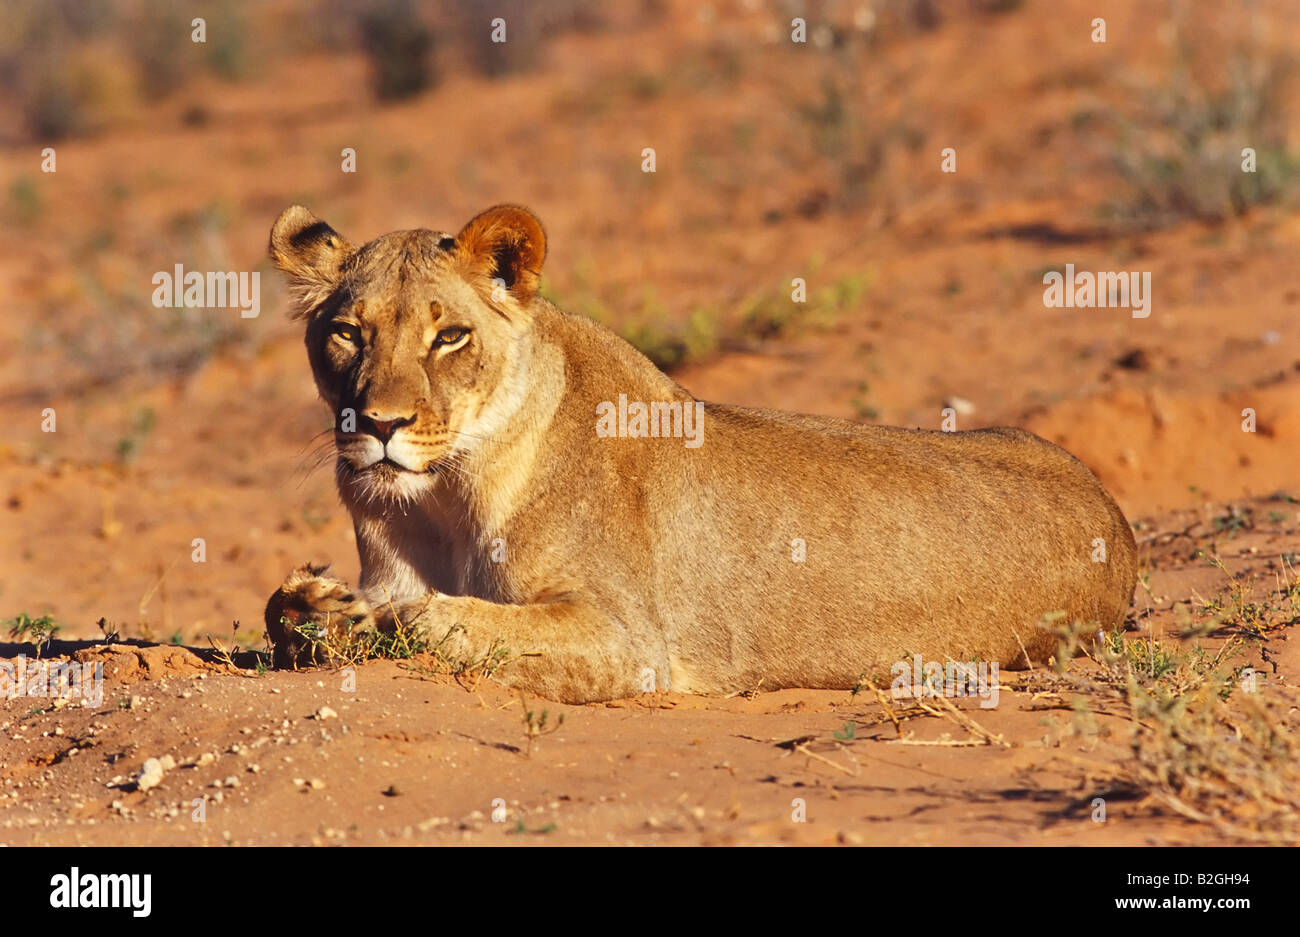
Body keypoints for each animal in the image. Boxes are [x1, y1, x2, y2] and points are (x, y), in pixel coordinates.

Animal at [264, 204, 1137, 704]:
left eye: (449, 336)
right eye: (348, 333)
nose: (379, 423)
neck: (443, 496)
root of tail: (1118, 524)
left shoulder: (628, 640)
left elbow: (437, 620)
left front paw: (364, 620)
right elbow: (285, 611)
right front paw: (312, 605)